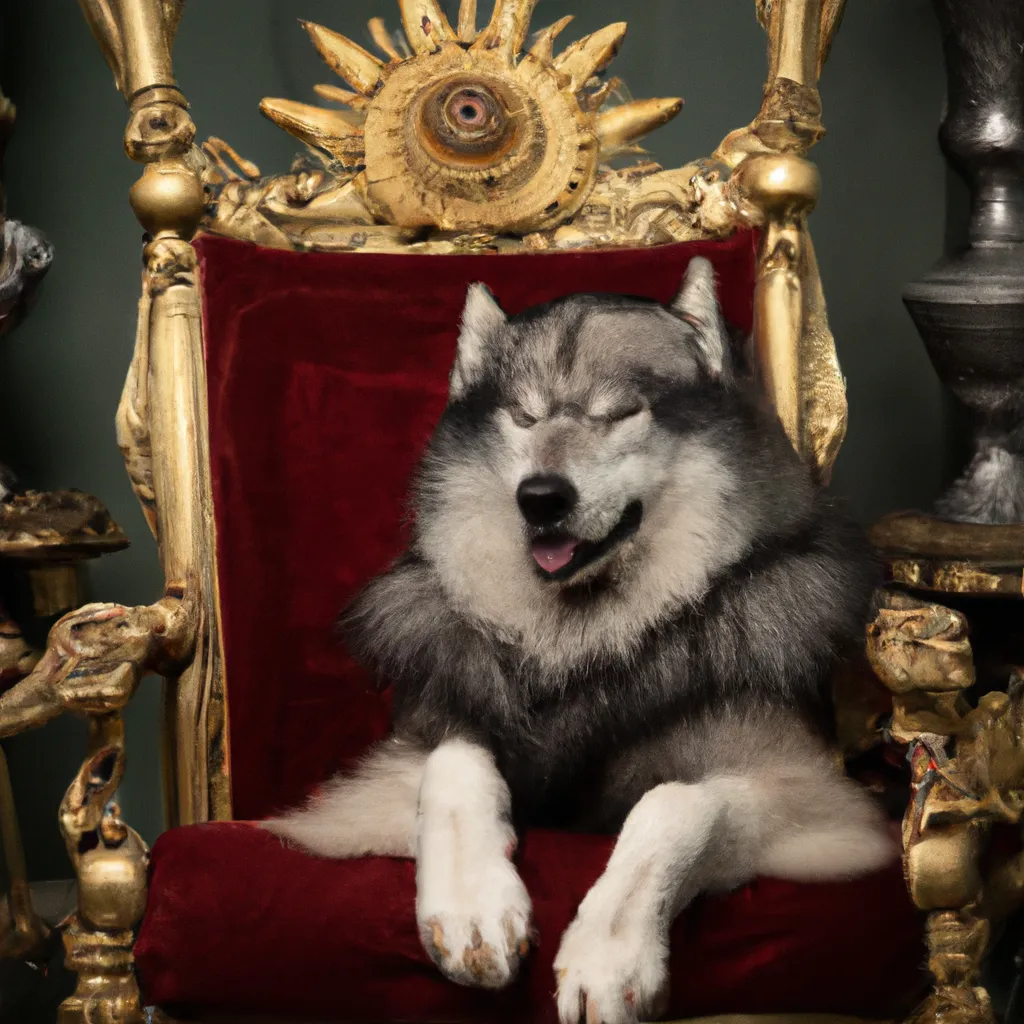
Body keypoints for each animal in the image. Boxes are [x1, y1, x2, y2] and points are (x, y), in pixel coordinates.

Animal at [265, 257, 896, 1024]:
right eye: (524, 417)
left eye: (620, 414)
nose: (540, 497)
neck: (582, 642)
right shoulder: (382, 779)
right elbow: (455, 764)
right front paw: (474, 907)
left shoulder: (818, 806)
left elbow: (676, 806)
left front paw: (609, 952)